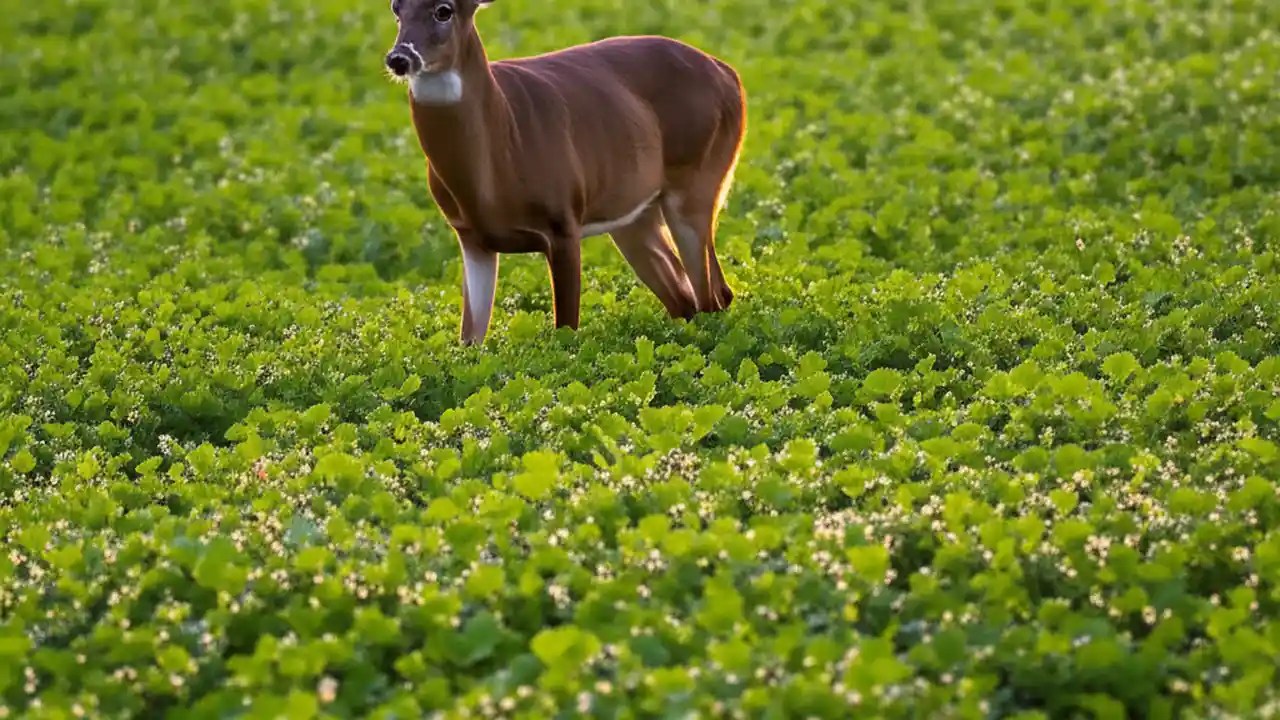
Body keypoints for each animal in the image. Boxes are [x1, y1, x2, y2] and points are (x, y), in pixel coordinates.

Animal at [382, 0, 747, 345]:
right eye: (396, 8)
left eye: (444, 10)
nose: (399, 58)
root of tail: (730, 74)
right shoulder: (470, 236)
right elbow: (470, 340)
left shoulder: (563, 221)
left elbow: (566, 330)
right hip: (634, 215)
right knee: (688, 300)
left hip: (697, 180)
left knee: (711, 296)